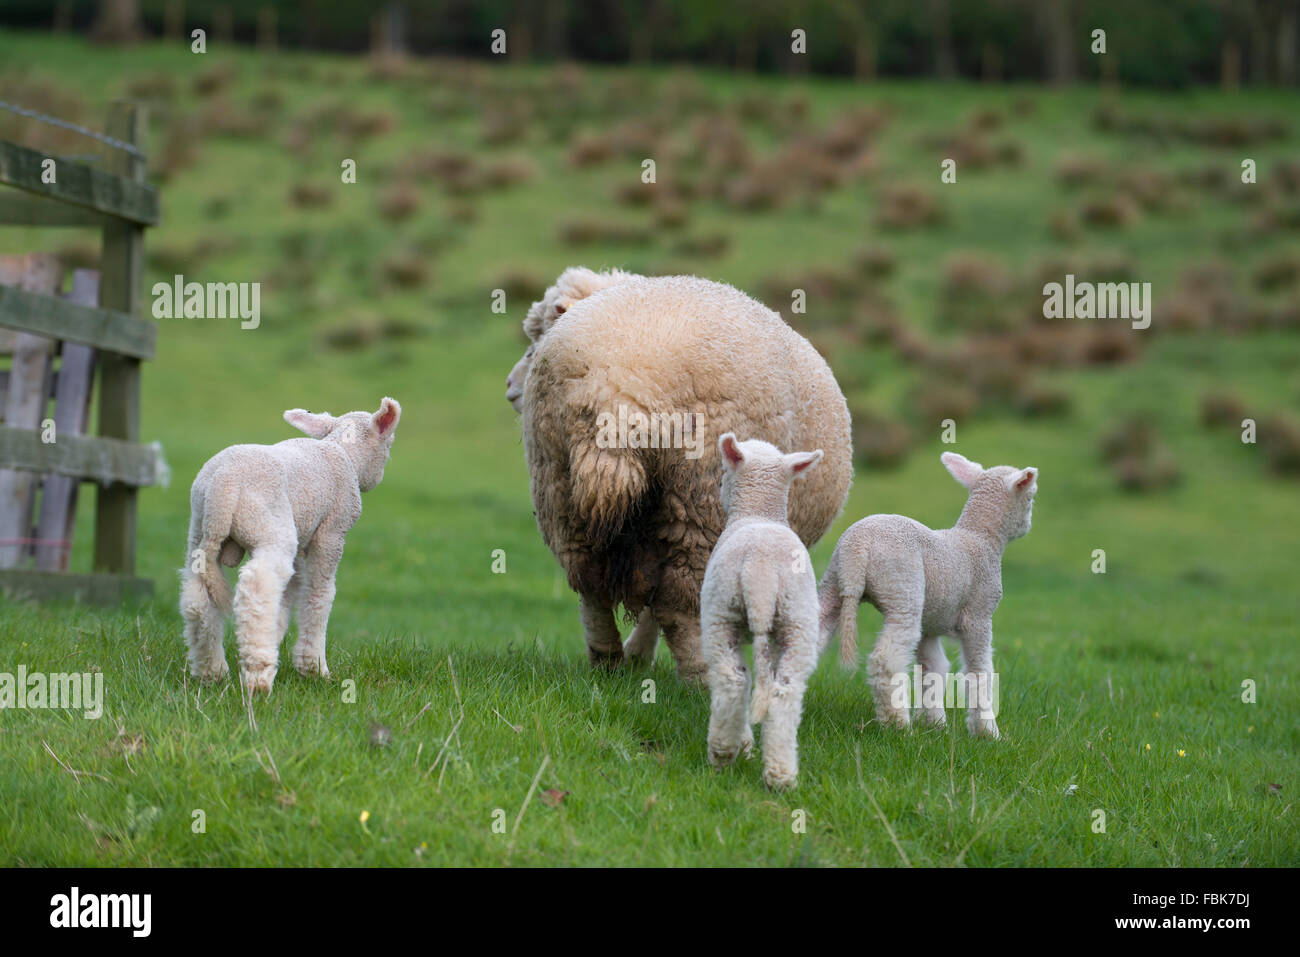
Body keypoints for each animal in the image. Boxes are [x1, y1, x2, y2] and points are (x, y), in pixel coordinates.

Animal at [179, 398, 401, 695]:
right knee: (258, 586)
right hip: (271, 527)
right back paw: (258, 679)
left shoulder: (302, 536)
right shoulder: (331, 533)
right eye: (388, 444)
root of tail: (223, 484)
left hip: (198, 528)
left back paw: (211, 671)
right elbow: (319, 594)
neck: (344, 452)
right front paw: (314, 668)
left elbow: (289, 594)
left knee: (197, 597)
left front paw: (277, 634)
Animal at [511, 267, 852, 682]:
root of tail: (614, 389)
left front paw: (637, 656)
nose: (510, 387)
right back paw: (701, 677)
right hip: (699, 500)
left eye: (538, 337)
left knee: (590, 587)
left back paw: (607, 660)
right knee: (679, 603)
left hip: (557, 486)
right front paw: (644, 655)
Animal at [701, 434, 823, 790]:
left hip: (720, 613)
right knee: (784, 691)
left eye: (724, 474)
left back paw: (724, 752)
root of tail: (761, 569)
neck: (759, 514)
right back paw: (781, 774)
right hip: (798, 619)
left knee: (732, 681)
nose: (719, 491)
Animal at [817, 451, 1037, 738]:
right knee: (886, 660)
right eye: (1030, 498)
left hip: (834, 582)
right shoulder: (979, 614)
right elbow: (980, 671)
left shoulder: (930, 624)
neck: (979, 538)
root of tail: (858, 547)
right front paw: (987, 731)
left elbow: (935, 668)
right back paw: (898, 725)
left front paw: (935, 723)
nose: (1028, 527)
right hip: (903, 589)